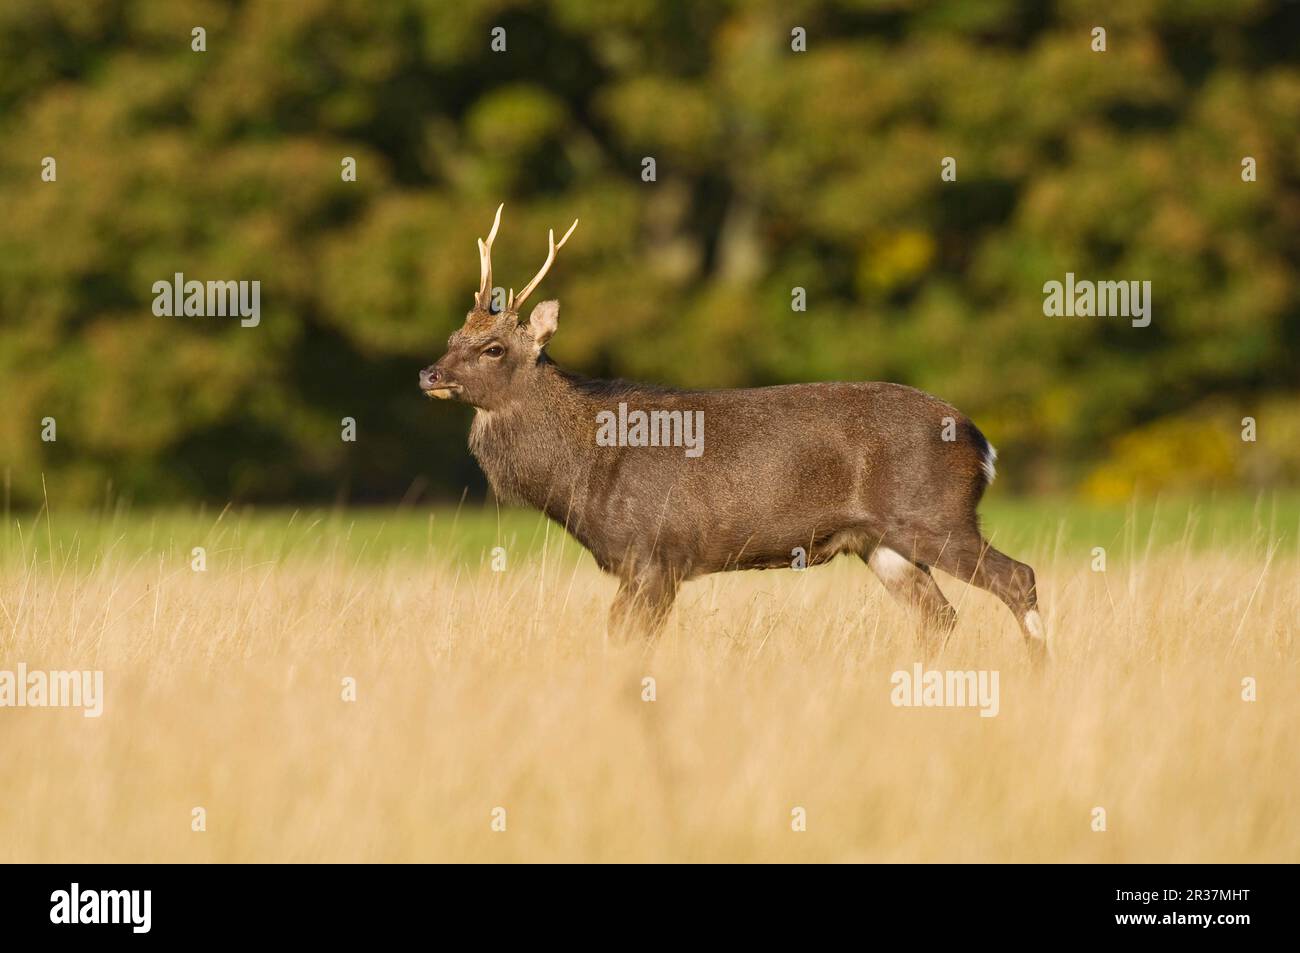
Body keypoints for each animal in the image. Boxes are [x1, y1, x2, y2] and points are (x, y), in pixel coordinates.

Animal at [420, 206, 1048, 663]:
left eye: (492, 348)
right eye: (451, 338)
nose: (429, 374)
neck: (586, 471)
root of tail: (981, 443)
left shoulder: (657, 551)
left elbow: (626, 637)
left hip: (936, 513)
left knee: (1017, 578)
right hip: (883, 541)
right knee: (939, 616)